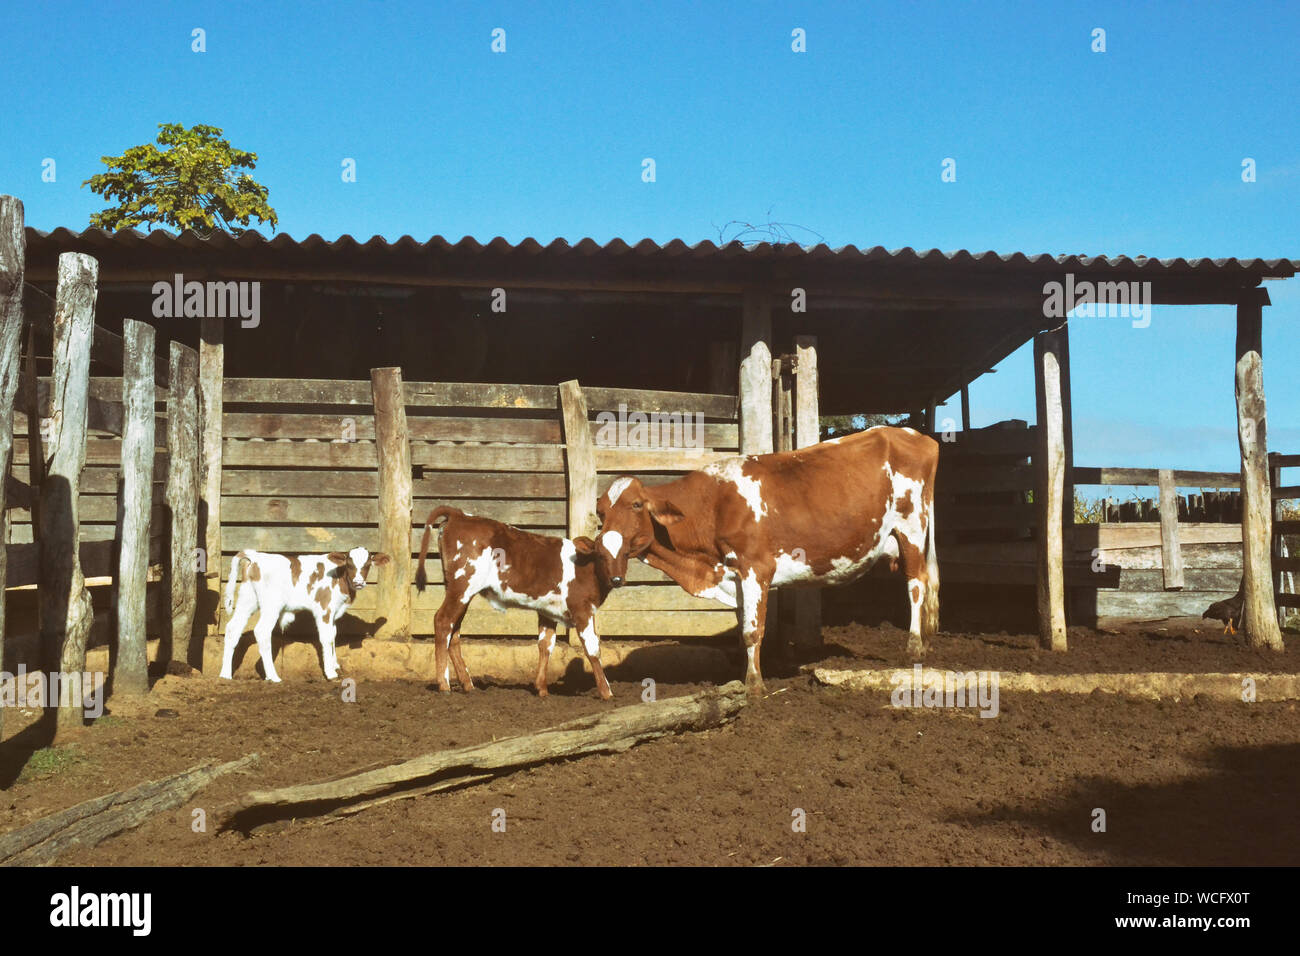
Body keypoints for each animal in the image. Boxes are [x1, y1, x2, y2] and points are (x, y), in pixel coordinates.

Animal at [220, 547, 391, 682]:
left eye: (367, 564)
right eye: (349, 564)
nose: (358, 583)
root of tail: (256, 555)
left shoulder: (334, 611)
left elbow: (333, 635)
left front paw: (335, 665)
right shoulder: (324, 609)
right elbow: (326, 638)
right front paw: (330, 673)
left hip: (247, 600)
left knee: (232, 629)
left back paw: (225, 674)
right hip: (271, 605)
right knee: (262, 631)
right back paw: (273, 676)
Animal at [415, 506, 614, 699]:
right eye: (601, 555)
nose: (617, 579)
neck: (586, 566)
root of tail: (459, 514)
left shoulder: (548, 610)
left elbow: (546, 644)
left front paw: (542, 689)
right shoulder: (583, 610)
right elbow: (592, 647)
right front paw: (606, 692)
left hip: (461, 593)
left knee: (454, 630)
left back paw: (468, 685)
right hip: (461, 588)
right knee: (442, 621)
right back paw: (444, 685)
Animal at [593, 426, 940, 694]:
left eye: (636, 504)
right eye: (601, 511)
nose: (606, 550)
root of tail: (917, 436)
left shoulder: (756, 567)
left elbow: (752, 630)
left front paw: (755, 685)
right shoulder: (734, 575)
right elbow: (742, 627)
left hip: (910, 528)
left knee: (916, 584)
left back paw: (913, 646)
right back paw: (924, 643)